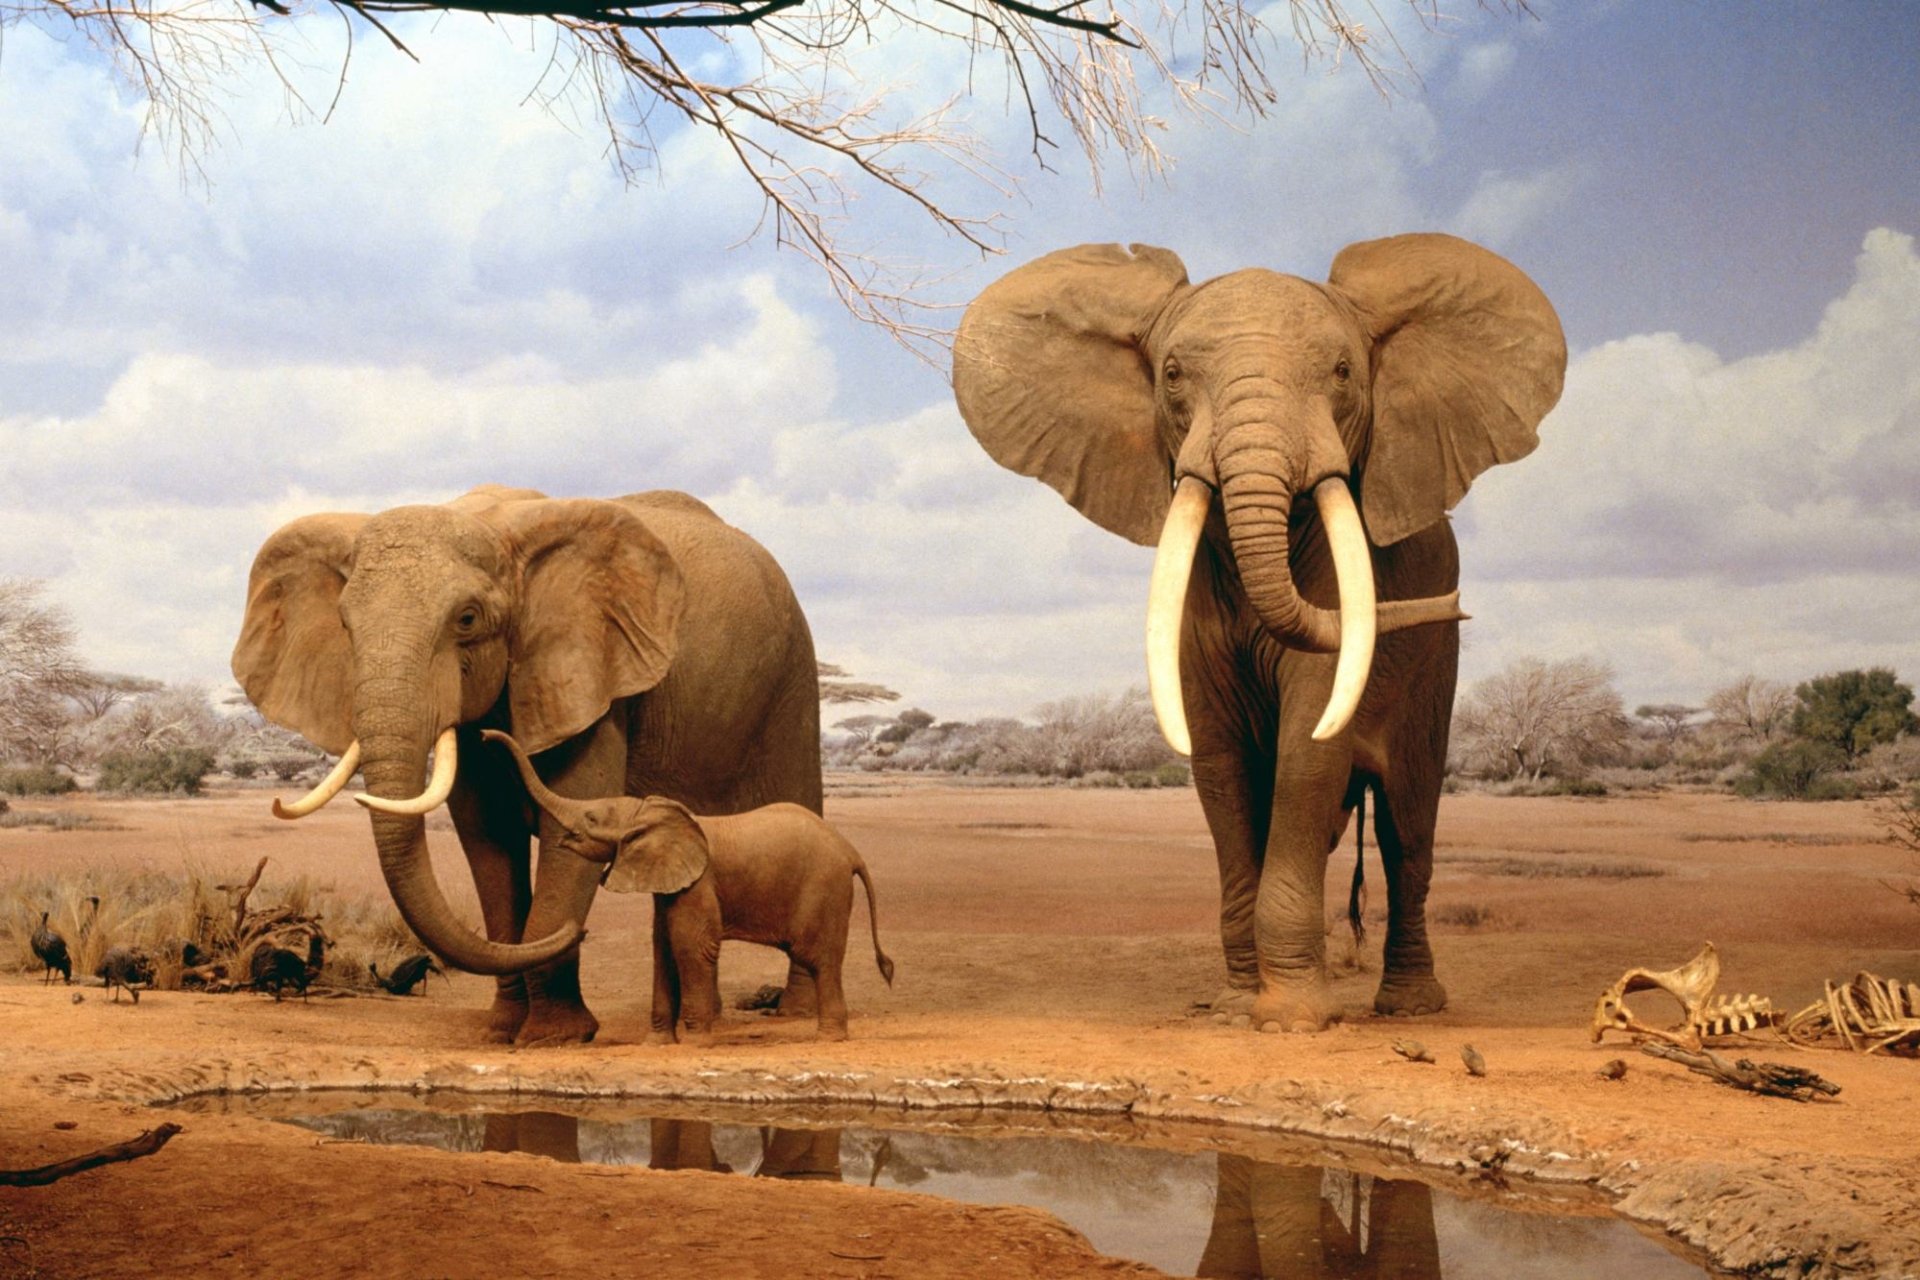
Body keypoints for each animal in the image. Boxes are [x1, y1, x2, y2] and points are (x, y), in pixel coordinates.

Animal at [232, 485, 822, 1046]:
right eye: (344, 625)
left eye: (467, 620)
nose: (579, 932)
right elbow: (487, 841)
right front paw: (501, 1032)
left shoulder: (591, 678)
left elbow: (567, 829)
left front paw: (553, 1037)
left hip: (793, 677)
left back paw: (796, 1013)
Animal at [485, 728, 894, 1043]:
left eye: (591, 817)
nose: (485, 735)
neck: (649, 812)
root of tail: (851, 851)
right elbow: (663, 948)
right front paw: (657, 1043)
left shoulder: (699, 884)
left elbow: (691, 946)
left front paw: (696, 1043)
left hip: (824, 889)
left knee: (819, 958)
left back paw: (828, 1038)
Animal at [954, 233, 1565, 1031]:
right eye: (1173, 375)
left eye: (1342, 372)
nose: (1455, 604)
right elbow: (1220, 763)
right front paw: (1235, 1006)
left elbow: (1310, 750)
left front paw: (1290, 1020)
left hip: (1437, 669)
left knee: (1408, 829)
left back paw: (1409, 1008)